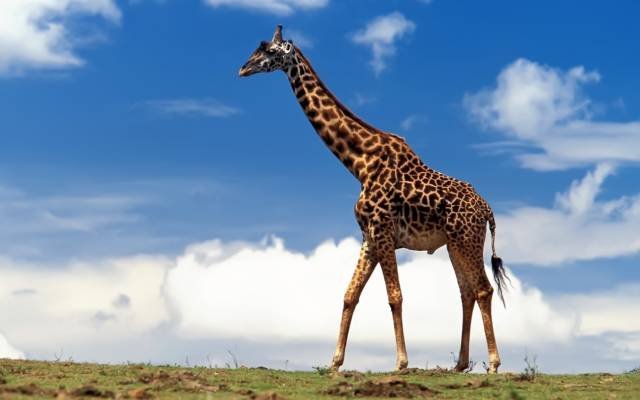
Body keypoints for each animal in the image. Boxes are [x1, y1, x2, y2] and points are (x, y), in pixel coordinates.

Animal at [239, 26, 509, 373]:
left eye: (269, 51)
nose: (243, 69)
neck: (359, 163)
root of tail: (488, 209)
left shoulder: (383, 231)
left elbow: (395, 296)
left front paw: (401, 363)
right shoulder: (369, 236)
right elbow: (349, 295)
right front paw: (335, 362)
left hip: (466, 239)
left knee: (483, 289)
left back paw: (493, 364)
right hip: (454, 243)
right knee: (467, 293)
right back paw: (460, 364)